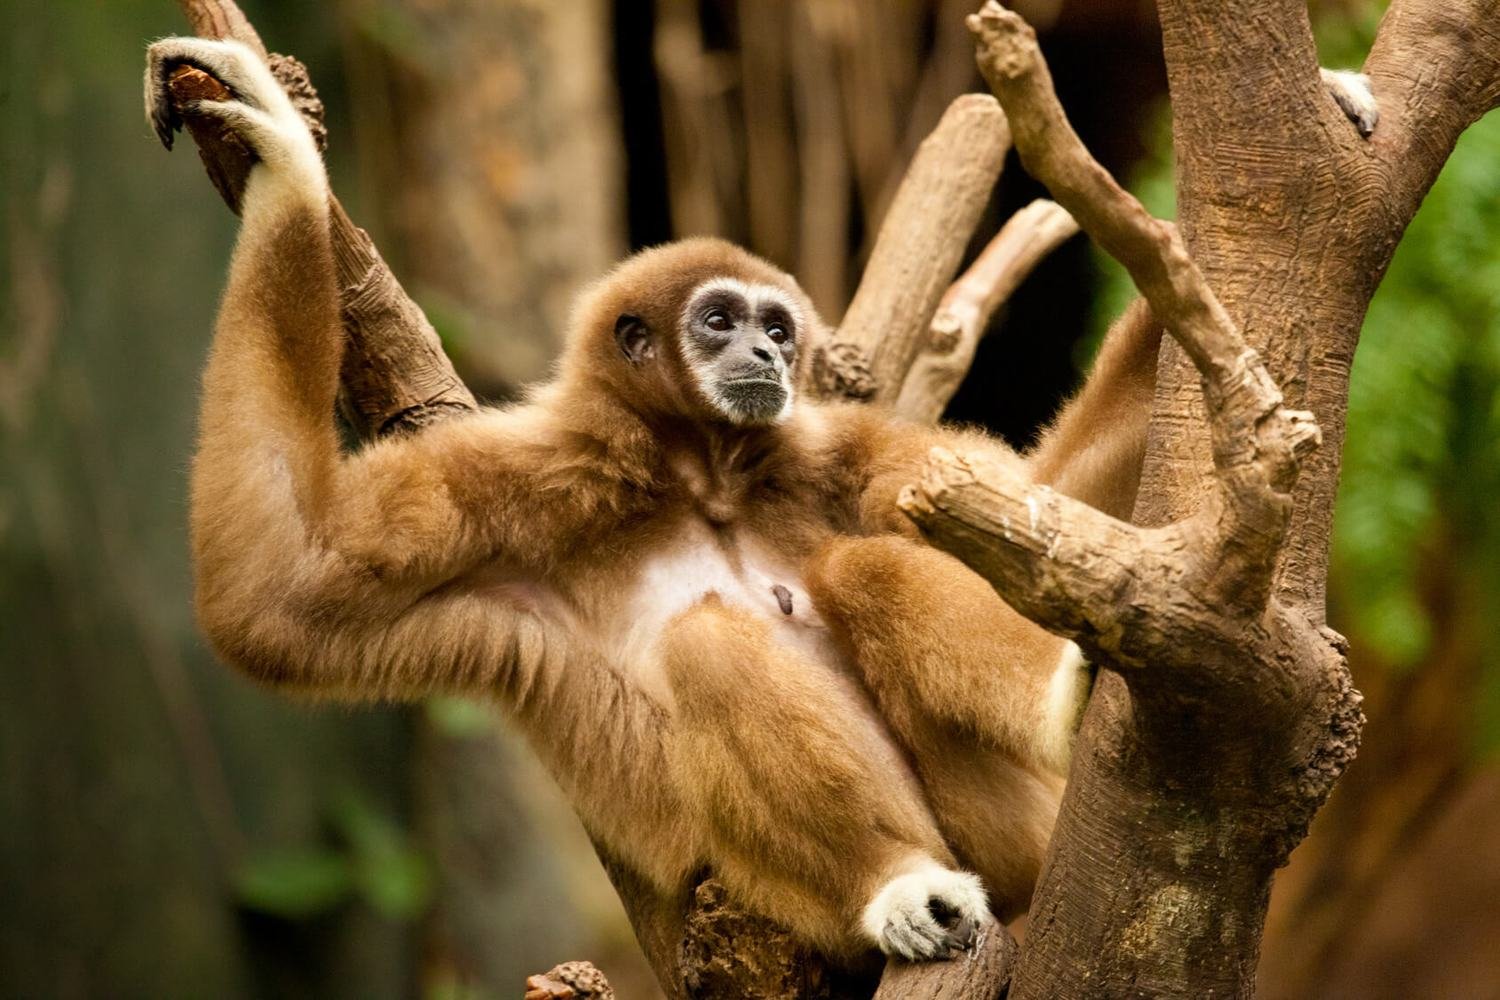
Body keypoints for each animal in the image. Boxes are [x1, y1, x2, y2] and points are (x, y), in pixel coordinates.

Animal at [145, 34, 1377, 966]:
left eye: (776, 326)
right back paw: (903, 882)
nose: (768, 354)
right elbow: (273, 595)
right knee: (709, 645)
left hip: (1017, 831)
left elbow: (1035, 500)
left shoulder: (832, 453)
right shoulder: (520, 480)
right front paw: (282, 154)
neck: (705, 476)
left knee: (865, 565)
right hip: (788, 892)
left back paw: (1066, 699)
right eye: (719, 321)